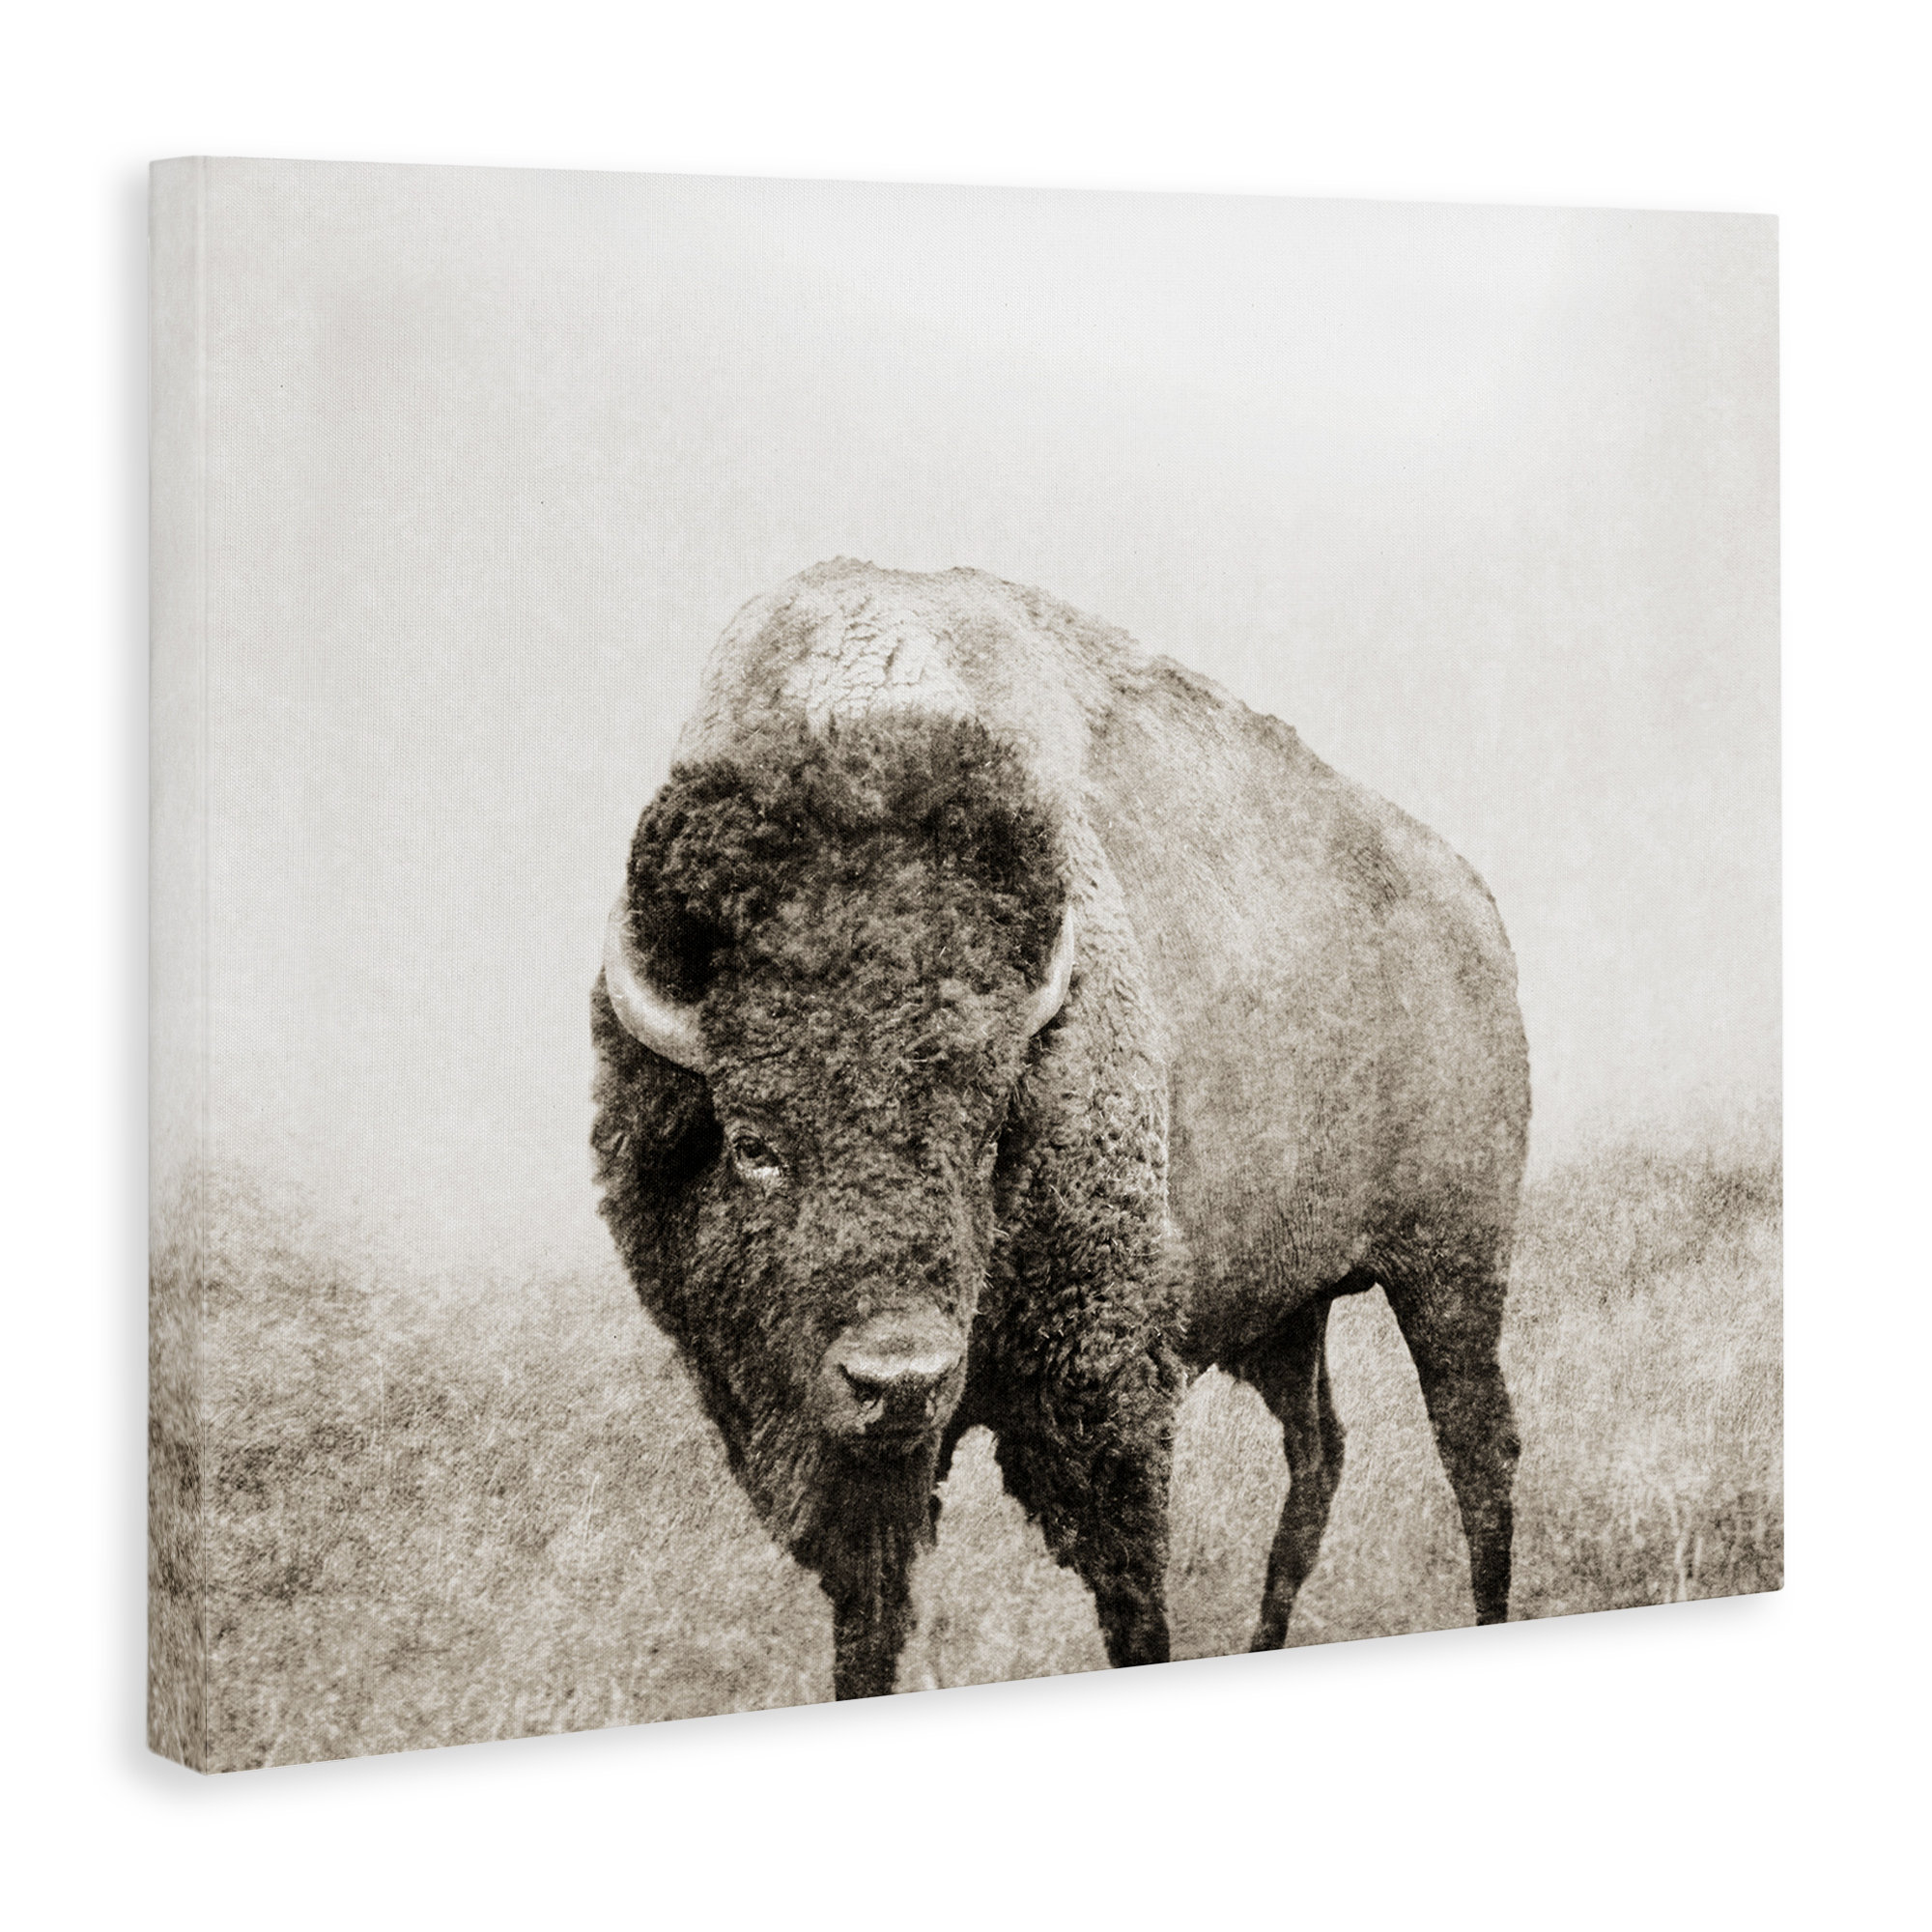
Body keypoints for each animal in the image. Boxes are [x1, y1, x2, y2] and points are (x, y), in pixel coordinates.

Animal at [592, 559, 1530, 1698]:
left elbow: (1131, 1598)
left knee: (1475, 1452)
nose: (899, 1379)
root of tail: (1470, 901)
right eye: (753, 1144)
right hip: (1289, 1310)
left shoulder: (1103, 1394)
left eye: (992, 1129)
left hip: (1450, 1267)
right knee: (1320, 1455)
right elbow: (870, 1621)